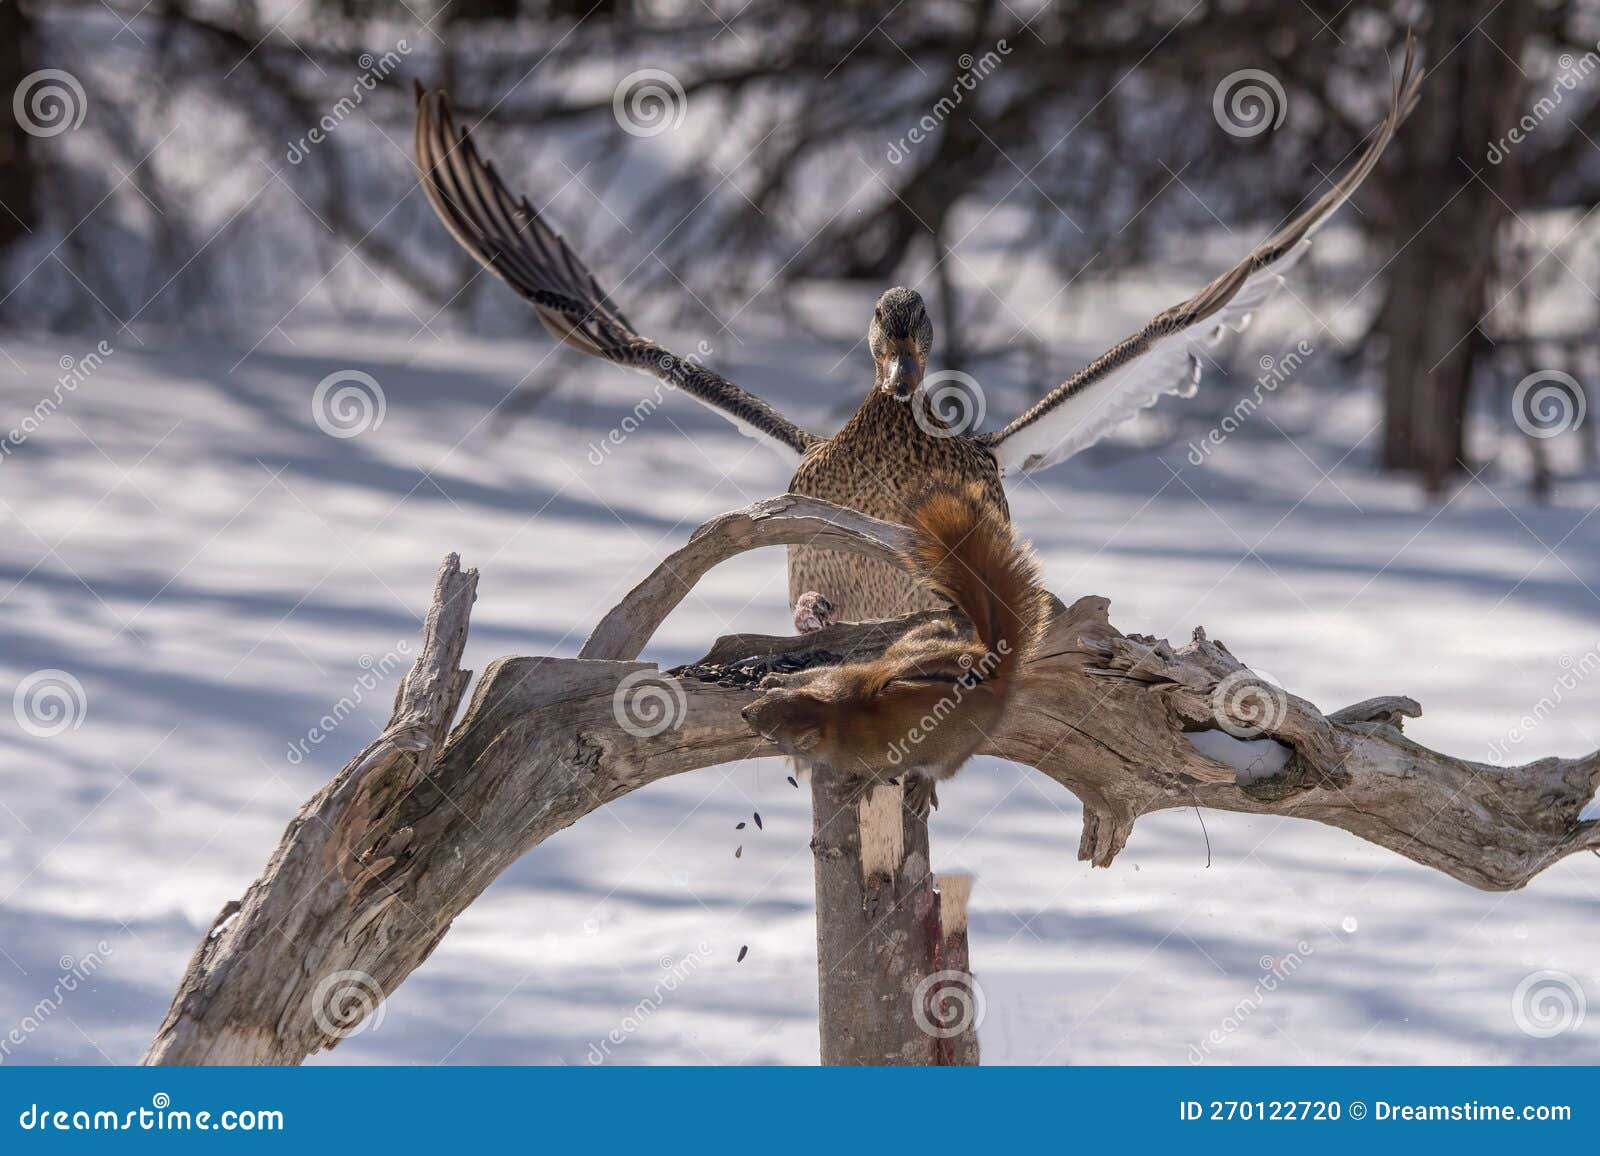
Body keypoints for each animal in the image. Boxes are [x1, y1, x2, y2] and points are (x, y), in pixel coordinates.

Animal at [740, 483, 1050, 813]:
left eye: (773, 735)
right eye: (773, 699)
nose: (745, 713)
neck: (836, 714)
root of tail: (990, 668)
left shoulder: (886, 754)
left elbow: (882, 773)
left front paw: (860, 785)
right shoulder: (837, 678)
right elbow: (815, 672)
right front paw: (775, 677)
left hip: (953, 751)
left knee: (936, 770)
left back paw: (924, 786)